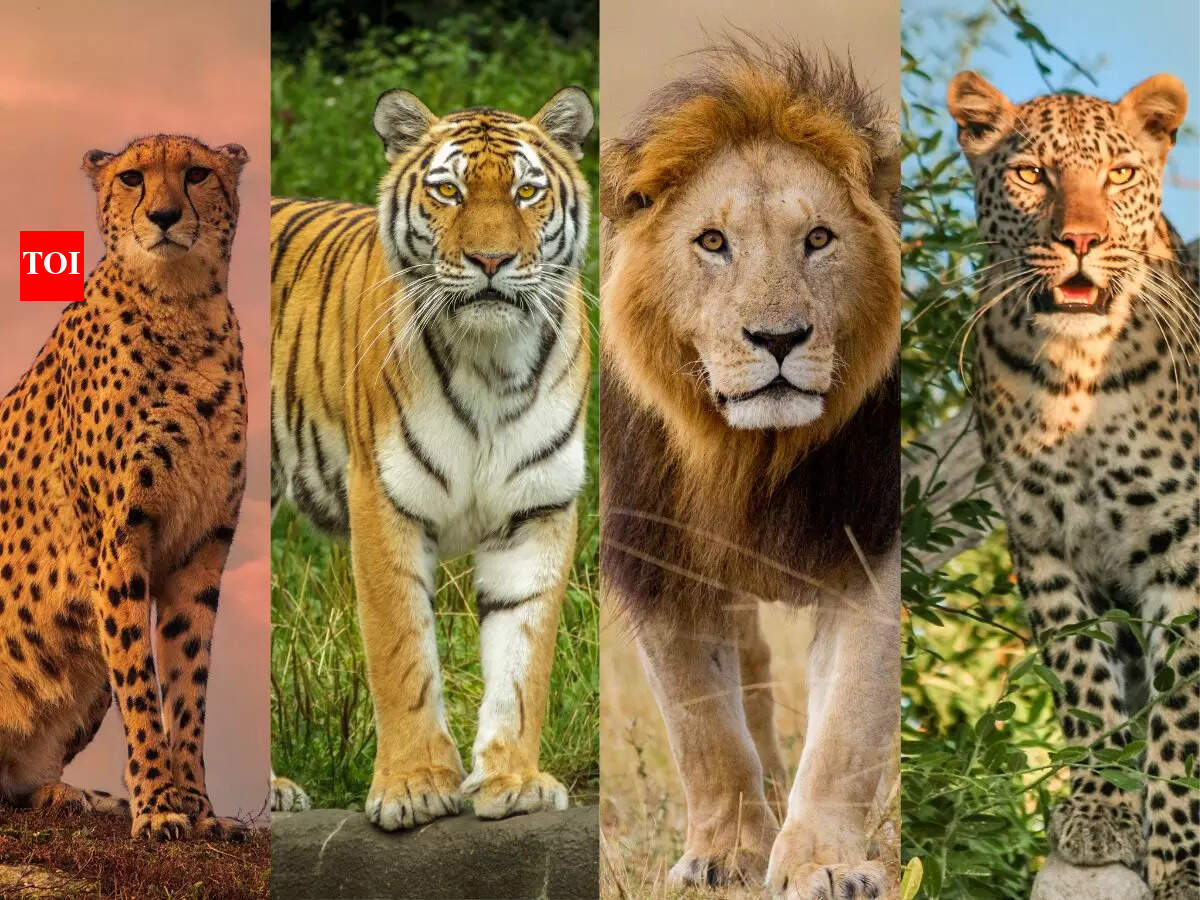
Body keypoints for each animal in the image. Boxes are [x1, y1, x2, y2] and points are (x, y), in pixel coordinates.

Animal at [0, 134, 251, 841]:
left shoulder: (203, 546)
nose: (164, 217)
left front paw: (197, 807)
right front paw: (159, 805)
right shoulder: (118, 543)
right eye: (133, 178)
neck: (181, 309)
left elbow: (187, 681)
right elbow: (140, 676)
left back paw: (69, 795)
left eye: (197, 174)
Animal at [600, 43, 901, 897]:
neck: (751, 455)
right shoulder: (657, 558)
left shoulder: (874, 547)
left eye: (820, 239)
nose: (777, 338)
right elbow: (701, 722)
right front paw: (726, 854)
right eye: (712, 242)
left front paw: (823, 864)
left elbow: (846, 730)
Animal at [948, 71, 1199, 897]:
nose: (1081, 241)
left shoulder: (1184, 550)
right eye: (1032, 175)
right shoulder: (1046, 543)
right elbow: (1084, 682)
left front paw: (1181, 858)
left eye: (1118, 175)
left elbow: (1182, 712)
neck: (1079, 372)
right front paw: (1098, 813)